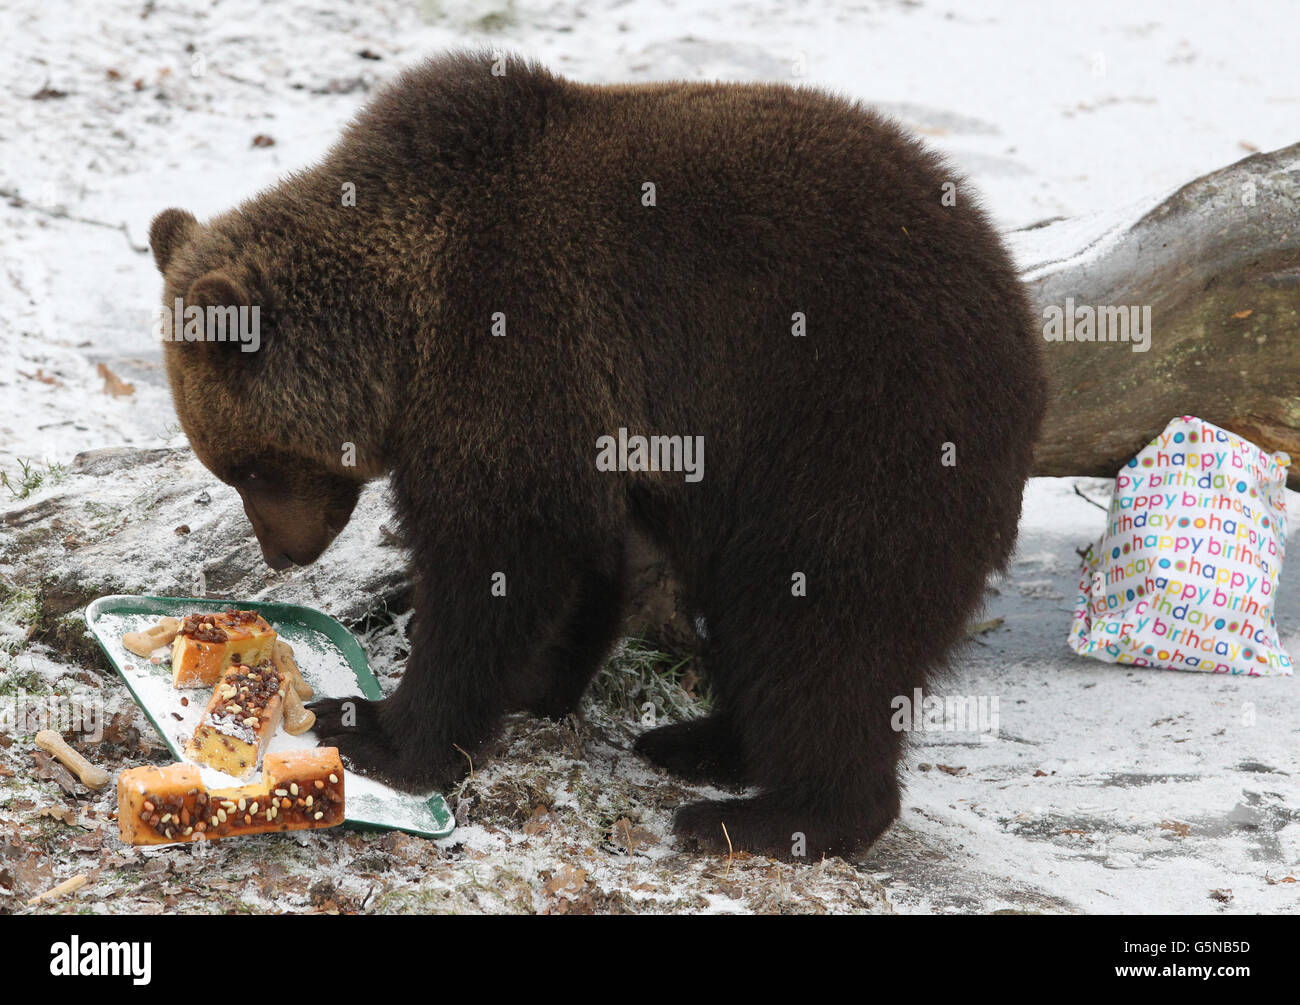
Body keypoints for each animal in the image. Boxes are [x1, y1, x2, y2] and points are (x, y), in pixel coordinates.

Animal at [149, 50, 1045, 861]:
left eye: (252, 467)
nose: (282, 552)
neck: (407, 327)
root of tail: (1025, 335)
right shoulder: (597, 418)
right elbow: (578, 557)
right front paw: (539, 681)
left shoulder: (517, 343)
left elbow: (496, 558)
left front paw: (378, 724)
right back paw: (702, 741)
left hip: (855, 430)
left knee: (819, 620)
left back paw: (765, 816)